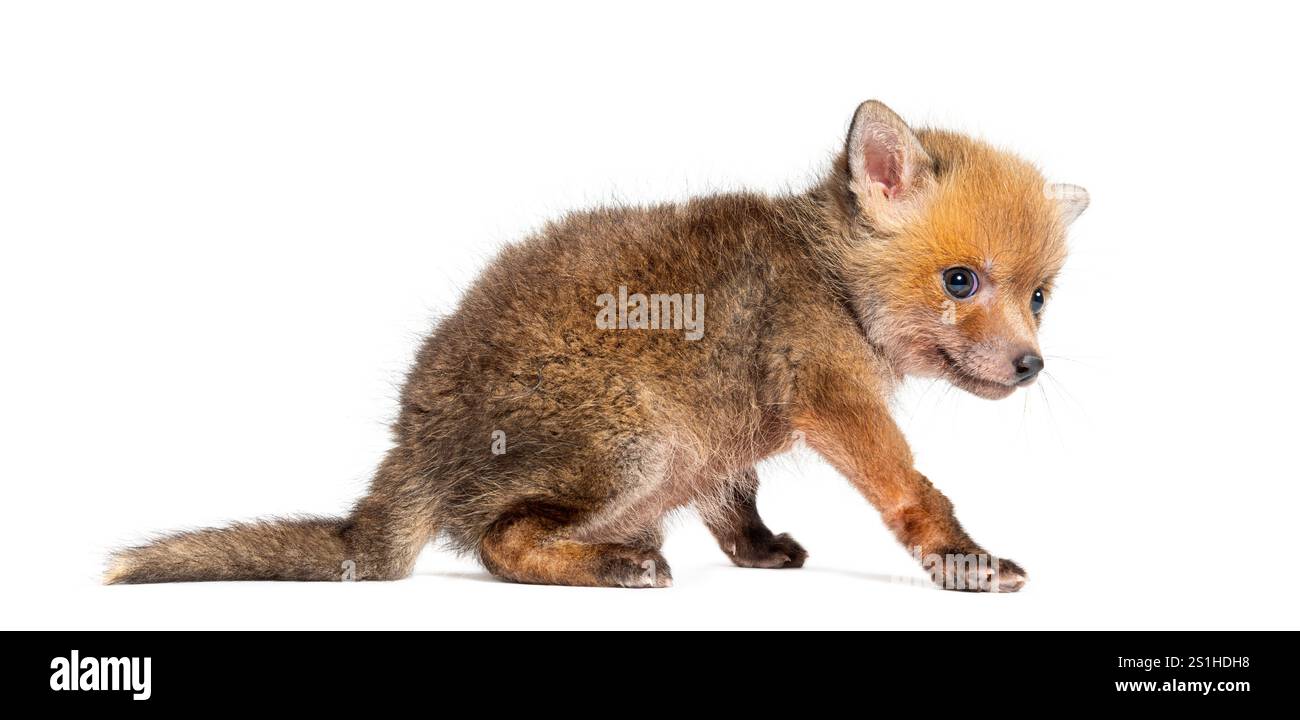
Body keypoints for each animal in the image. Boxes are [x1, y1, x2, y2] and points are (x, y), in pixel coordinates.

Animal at [105, 100, 1087, 591]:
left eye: (1040, 297)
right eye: (961, 281)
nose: (1032, 364)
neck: (830, 283)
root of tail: (410, 444)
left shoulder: (725, 438)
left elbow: (735, 498)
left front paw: (757, 552)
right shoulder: (833, 399)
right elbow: (915, 492)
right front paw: (965, 560)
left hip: (655, 459)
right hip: (629, 445)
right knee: (499, 543)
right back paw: (616, 566)